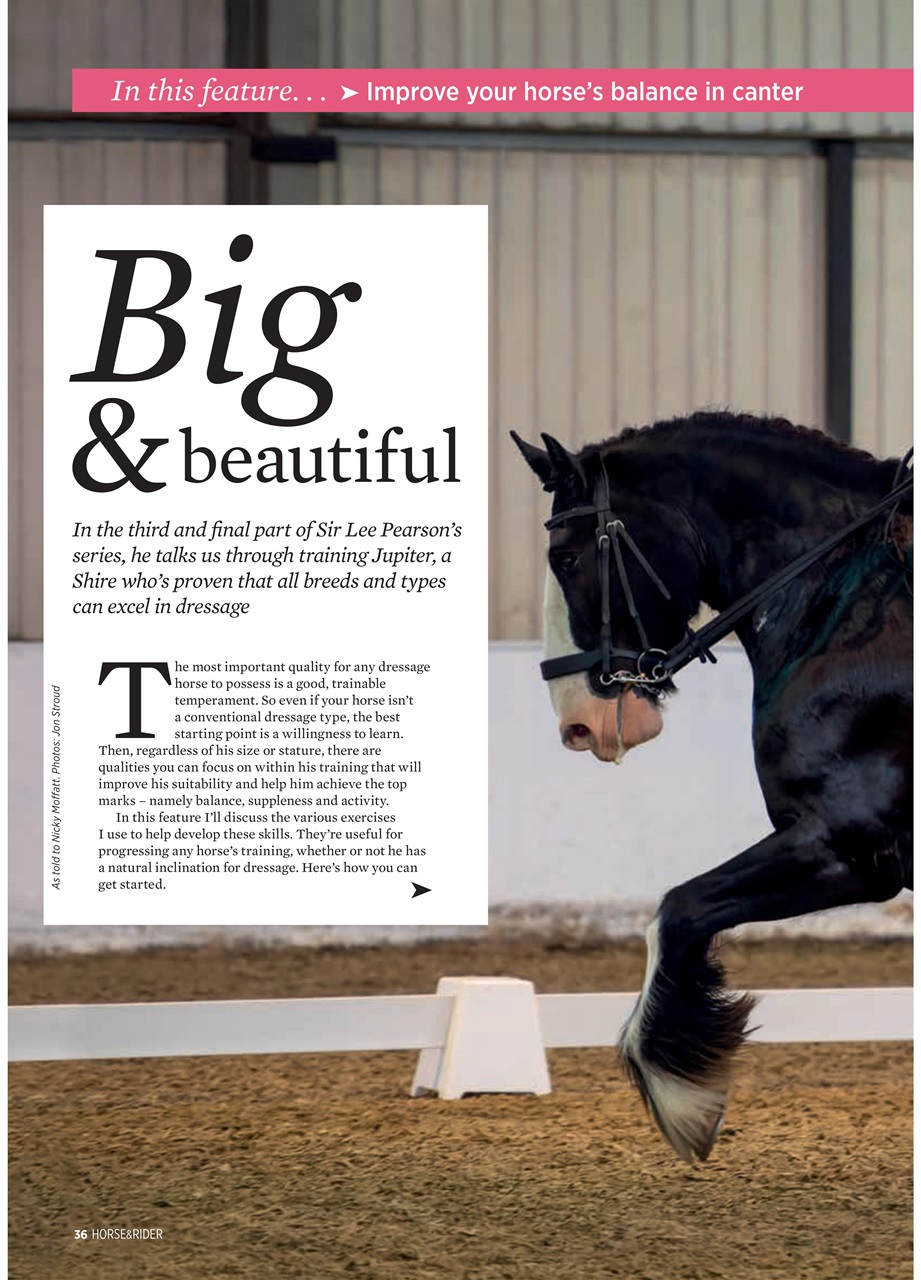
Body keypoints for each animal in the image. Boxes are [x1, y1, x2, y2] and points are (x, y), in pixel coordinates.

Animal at [512, 412, 912, 1162]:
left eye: (568, 559)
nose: (578, 723)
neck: (853, 610)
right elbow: (682, 911)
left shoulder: (846, 844)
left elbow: (678, 910)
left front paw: (681, 1098)